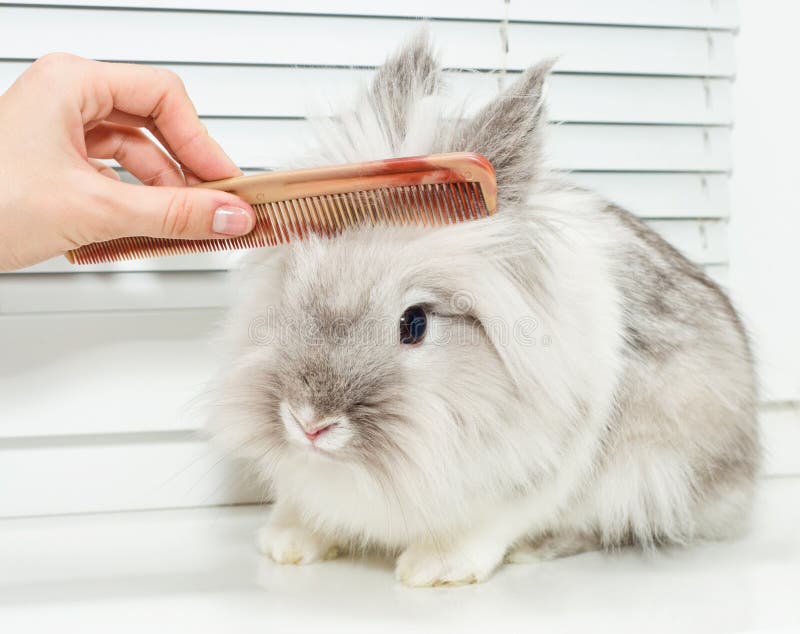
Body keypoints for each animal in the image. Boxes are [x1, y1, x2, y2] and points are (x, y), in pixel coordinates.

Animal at [205, 32, 760, 587]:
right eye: (293, 286)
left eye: (415, 324)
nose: (309, 422)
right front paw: (287, 542)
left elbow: (493, 523)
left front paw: (433, 569)